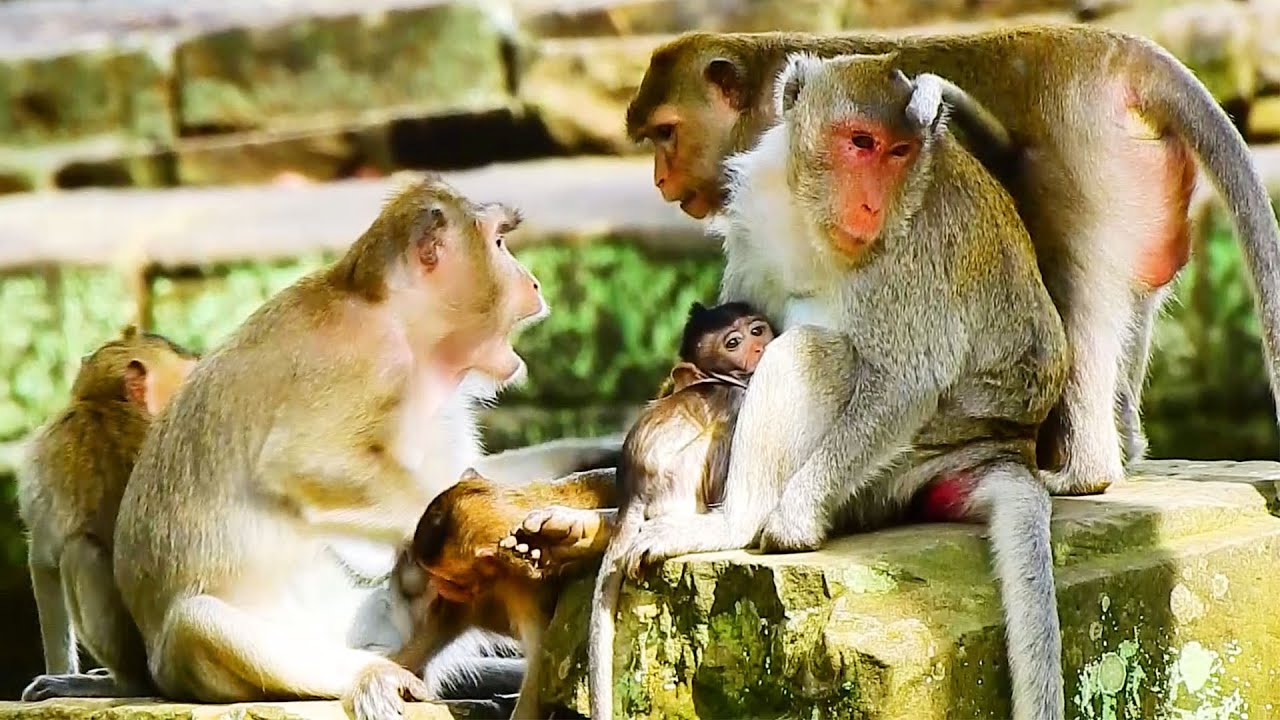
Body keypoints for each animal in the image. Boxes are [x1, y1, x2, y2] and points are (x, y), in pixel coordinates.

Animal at [16, 327, 199, 702]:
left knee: (79, 552)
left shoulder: (46, 451)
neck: (105, 401)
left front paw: (59, 672)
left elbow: (42, 561)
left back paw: (121, 683)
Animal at [110, 174, 553, 720]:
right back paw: (369, 674)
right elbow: (304, 461)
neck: (393, 314)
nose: (534, 282)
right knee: (199, 620)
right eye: (499, 243)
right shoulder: (366, 361)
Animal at [611, 54, 1071, 720]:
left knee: (812, 354)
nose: (871, 207)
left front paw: (793, 520)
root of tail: (1005, 449)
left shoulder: (918, 244)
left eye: (900, 152)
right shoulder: (757, 201)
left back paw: (735, 521)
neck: (814, 221)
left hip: (883, 480)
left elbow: (906, 381)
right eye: (861, 143)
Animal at [624, 25, 1280, 497]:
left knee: (1078, 300)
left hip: (1095, 178)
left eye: (666, 133)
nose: (658, 180)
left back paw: (1082, 473)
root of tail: (1117, 54)